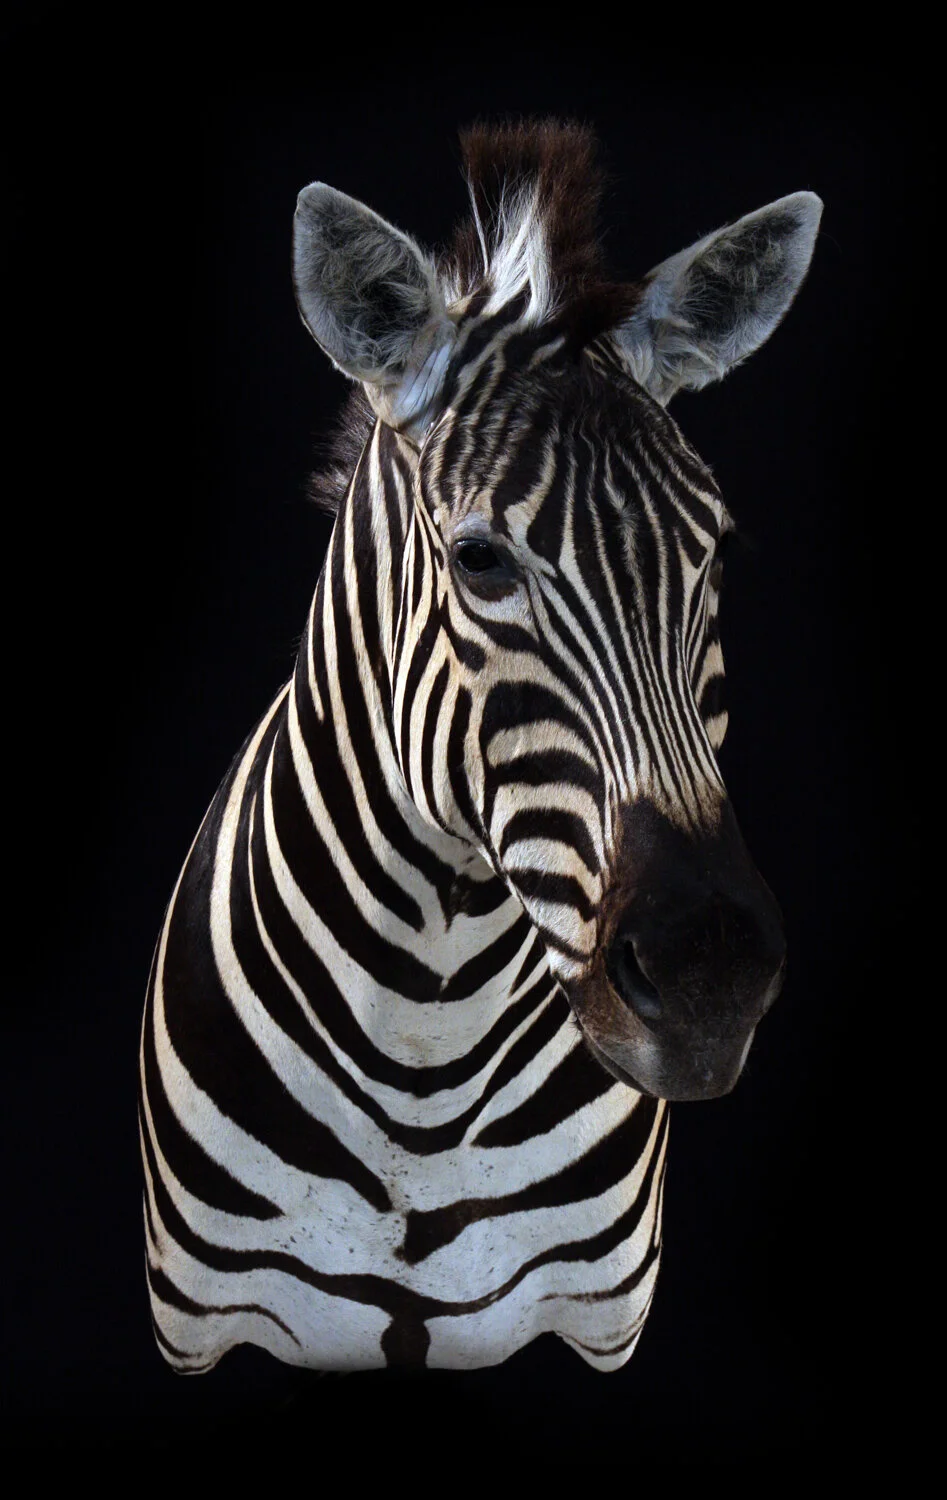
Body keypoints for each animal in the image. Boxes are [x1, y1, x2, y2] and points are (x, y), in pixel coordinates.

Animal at [140, 120, 821, 1375]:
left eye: (710, 550)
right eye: (478, 561)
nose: (708, 978)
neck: (428, 1022)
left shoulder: (597, 1318)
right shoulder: (200, 1321)